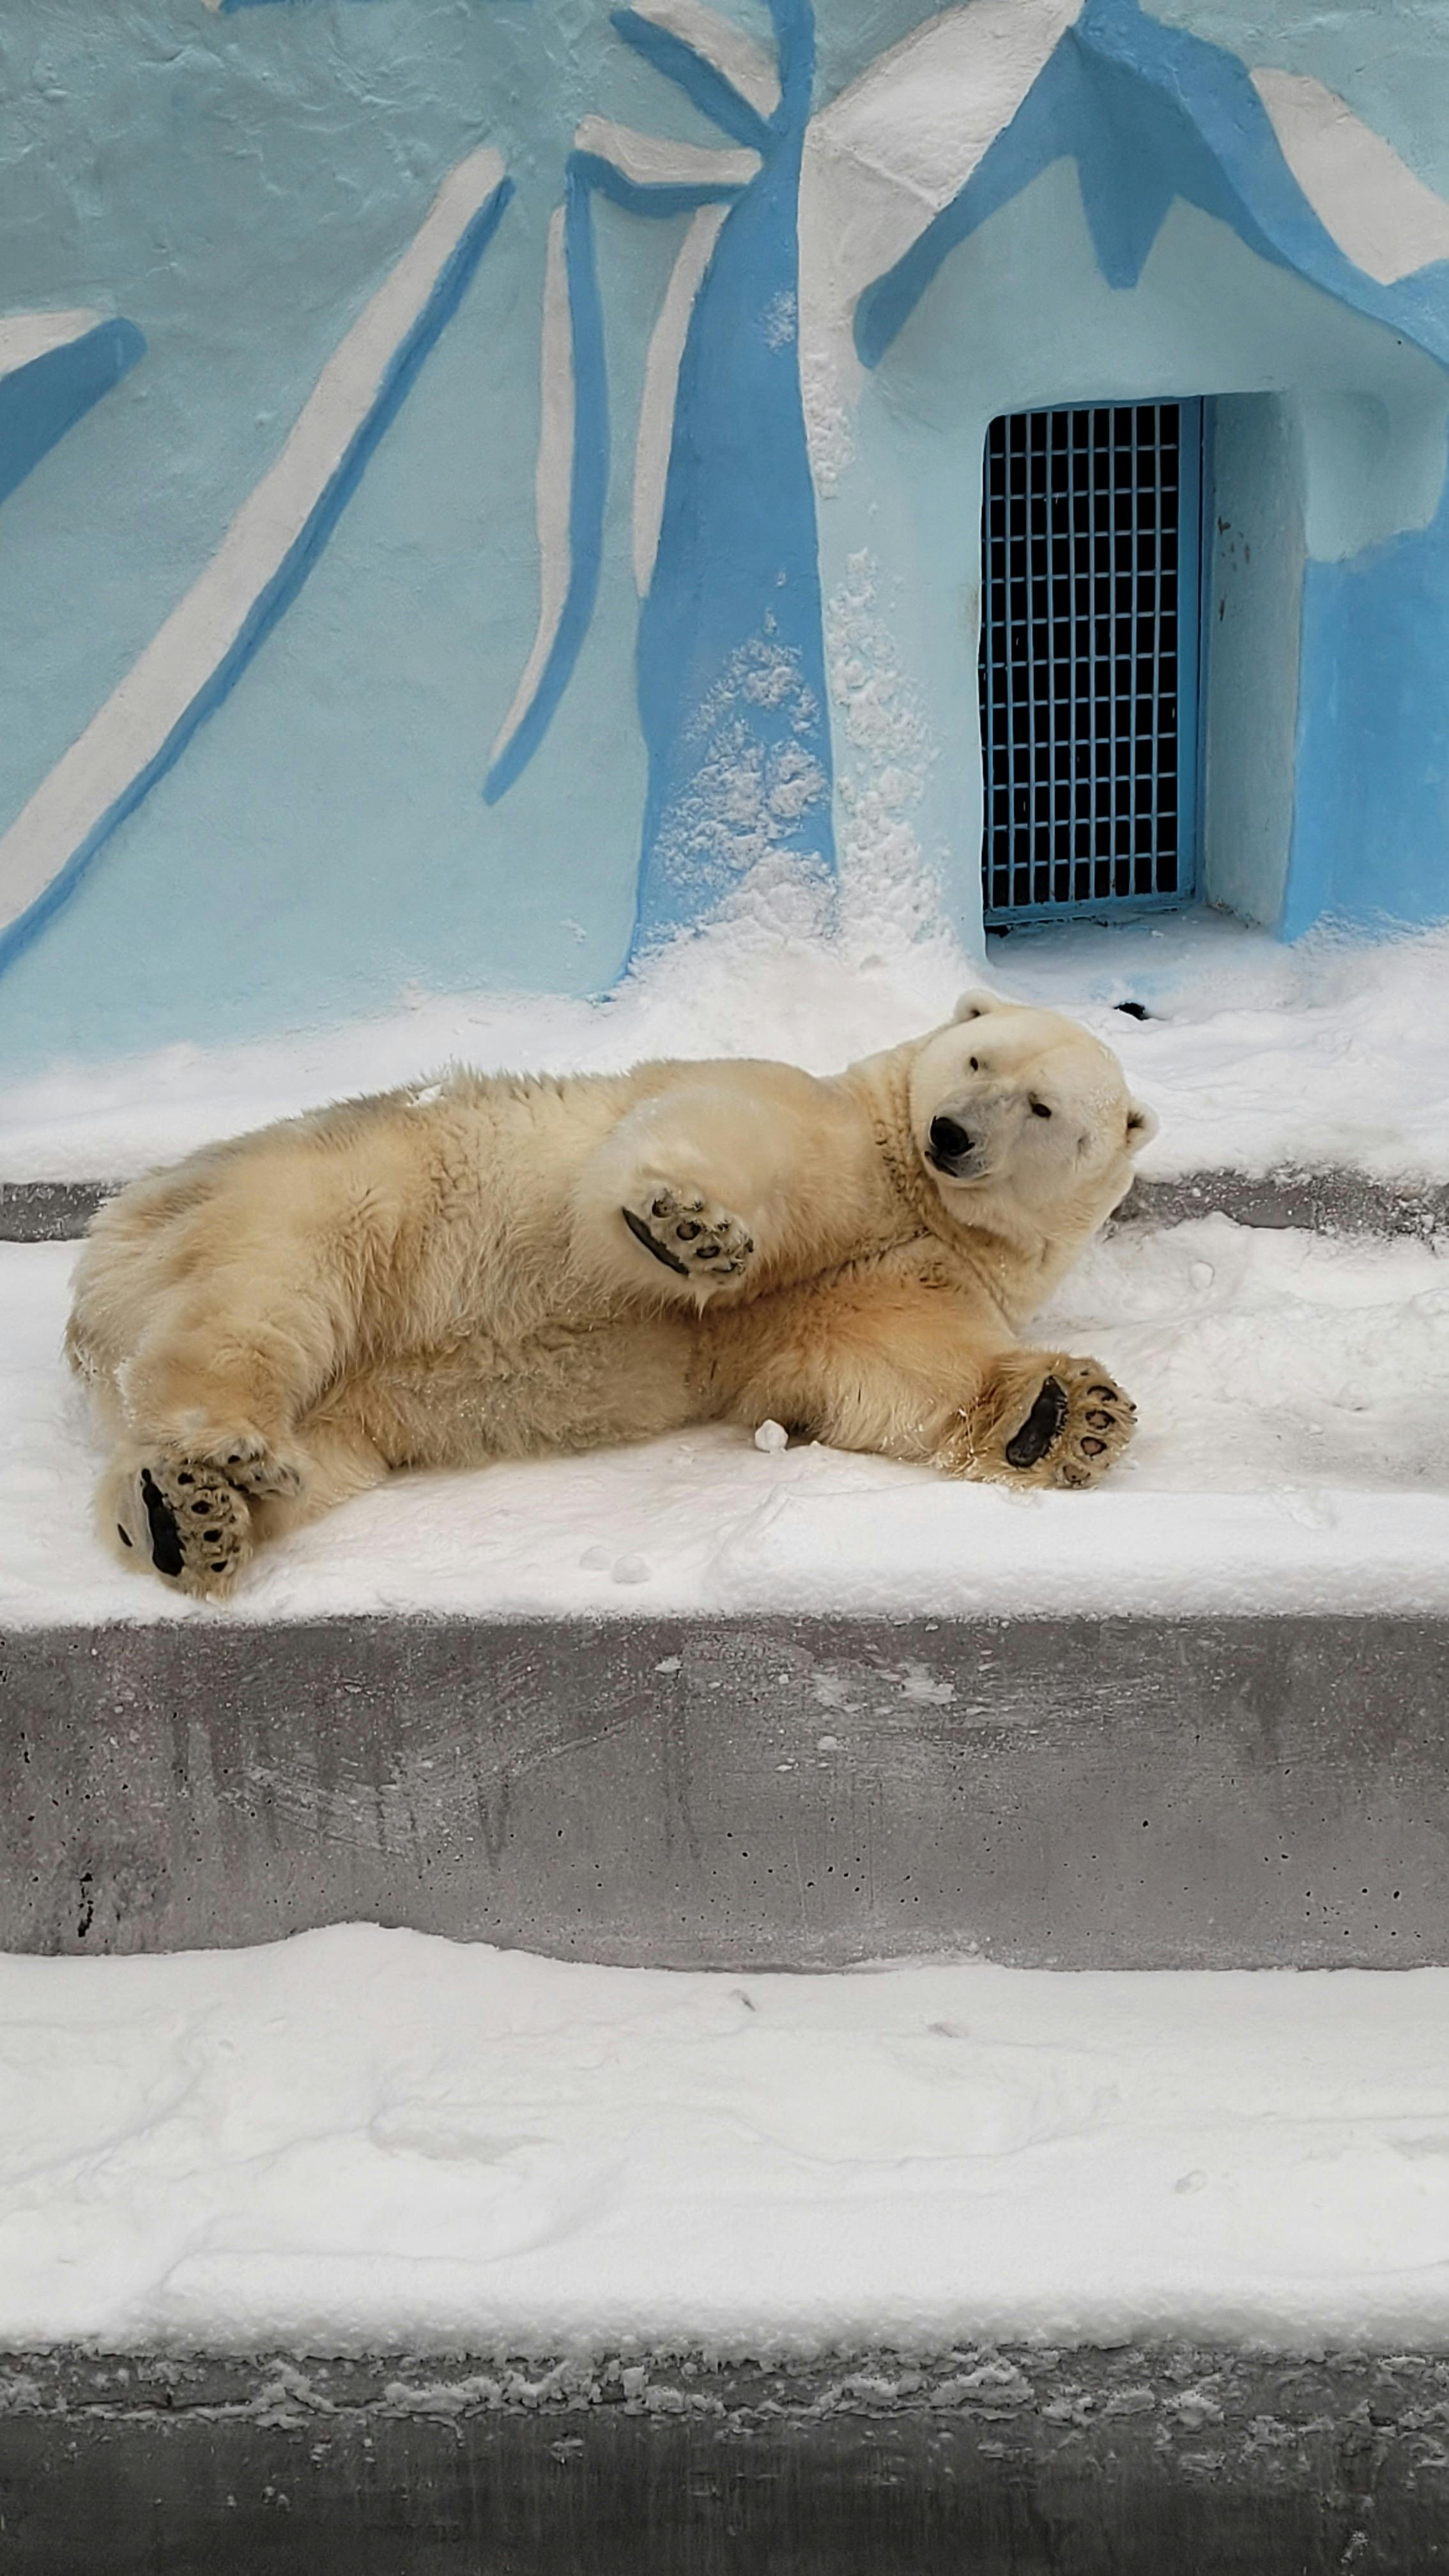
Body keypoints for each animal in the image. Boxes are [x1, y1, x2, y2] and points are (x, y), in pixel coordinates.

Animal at [66, 992, 1156, 1598]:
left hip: (354, 1393)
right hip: (336, 1192)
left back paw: (183, 1515)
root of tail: (110, 1245)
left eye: (1042, 1106)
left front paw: (1066, 1416)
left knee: (321, 1440)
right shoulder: (838, 1127)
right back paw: (224, 1449)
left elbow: (887, 1351)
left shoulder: (910, 1270)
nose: (954, 1133)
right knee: (262, 1298)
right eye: (975, 1059)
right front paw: (688, 1228)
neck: (918, 1193)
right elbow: (738, 1131)